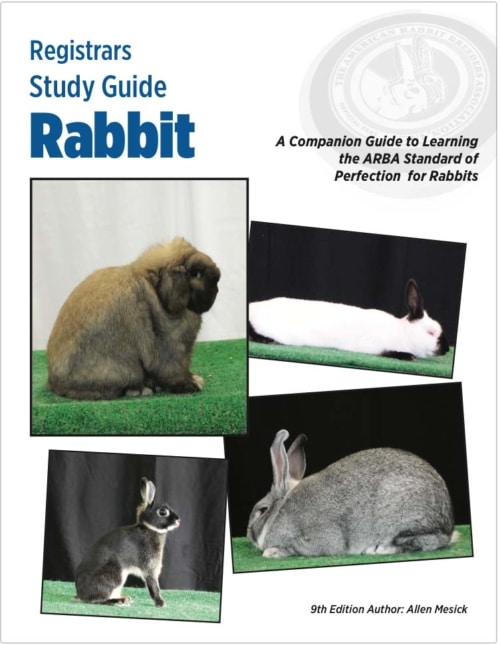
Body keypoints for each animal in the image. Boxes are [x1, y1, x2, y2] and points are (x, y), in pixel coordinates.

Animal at [75, 478, 180, 606]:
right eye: (163, 512)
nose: (178, 520)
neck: (148, 527)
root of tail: (80, 594)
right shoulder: (149, 567)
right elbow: (154, 585)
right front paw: (161, 603)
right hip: (114, 574)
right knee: (97, 599)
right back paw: (120, 601)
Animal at [247, 430, 455, 558]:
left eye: (262, 510)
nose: (249, 534)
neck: (279, 511)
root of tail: (448, 525)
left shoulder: (315, 539)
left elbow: (296, 549)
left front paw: (272, 553)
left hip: (403, 518)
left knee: (427, 541)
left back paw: (379, 549)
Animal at [249, 278, 449, 361]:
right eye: (431, 332)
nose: (447, 349)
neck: (403, 333)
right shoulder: (372, 346)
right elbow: (387, 352)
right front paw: (408, 356)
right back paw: (268, 340)